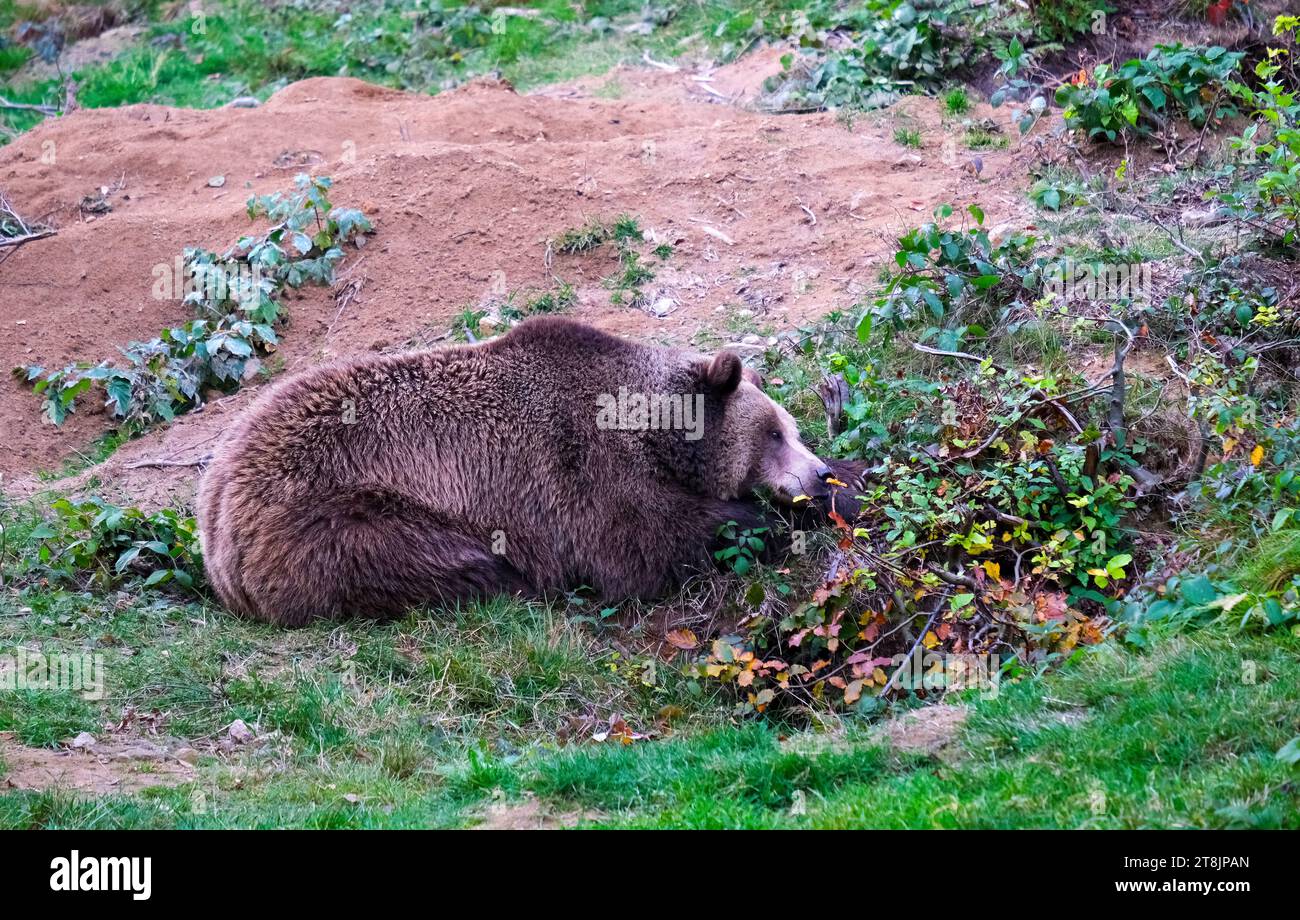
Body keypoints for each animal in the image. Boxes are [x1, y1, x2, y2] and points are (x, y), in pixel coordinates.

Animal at [197, 316, 839, 626]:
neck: (652, 430)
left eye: (792, 429)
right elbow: (645, 543)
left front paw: (844, 483)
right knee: (423, 556)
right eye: (773, 433)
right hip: (330, 512)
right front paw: (766, 517)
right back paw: (511, 581)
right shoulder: (580, 471)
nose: (815, 473)